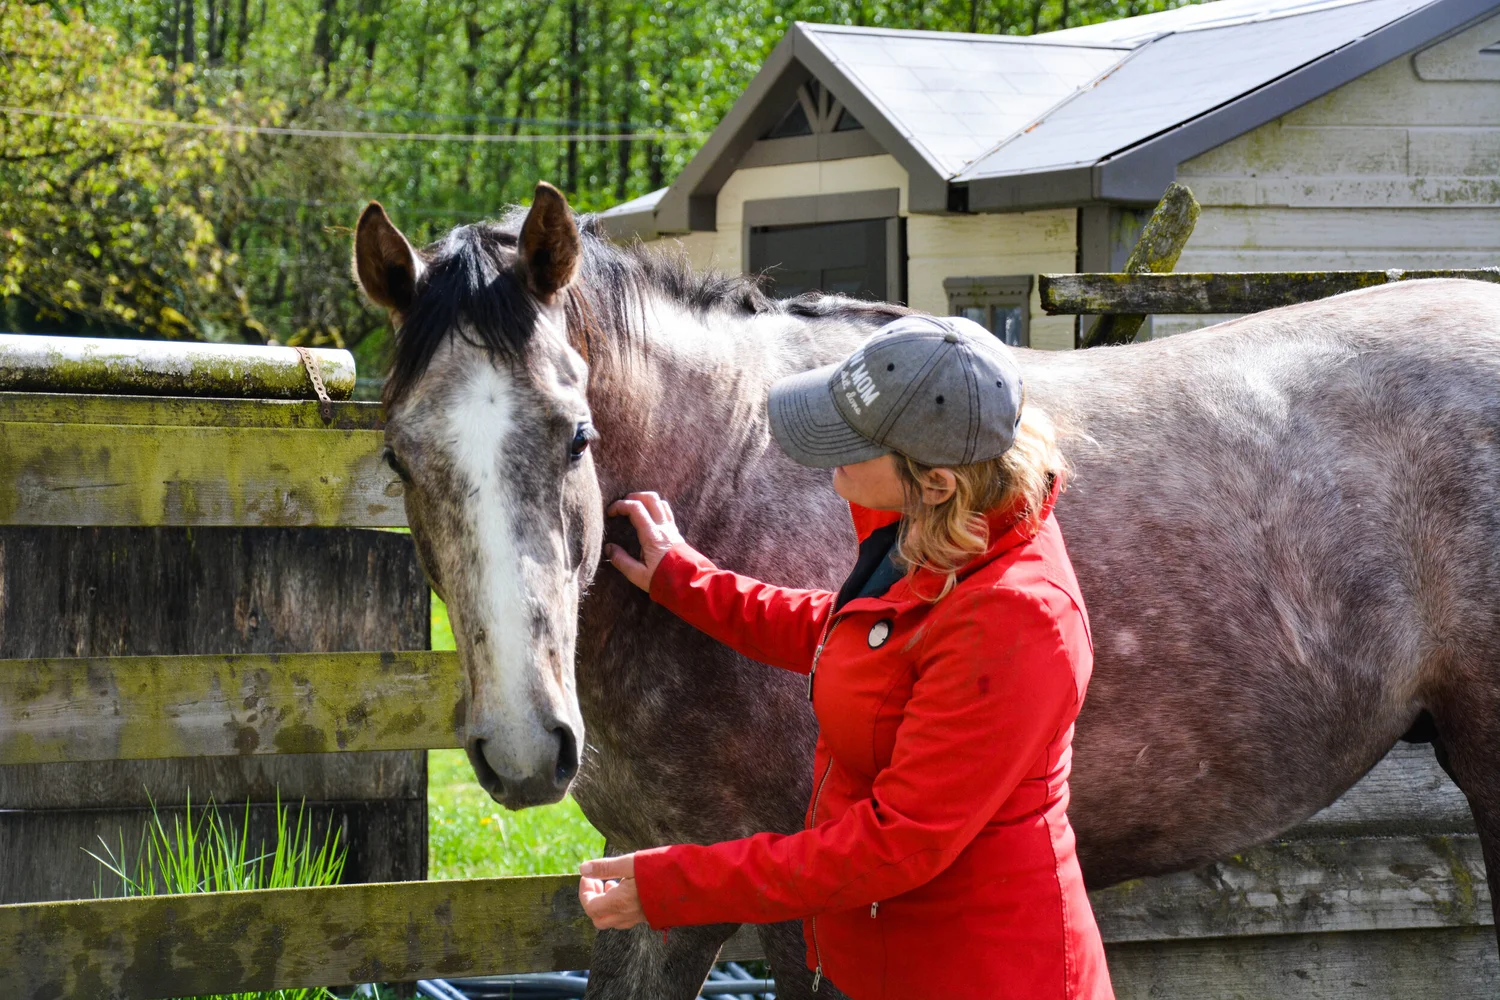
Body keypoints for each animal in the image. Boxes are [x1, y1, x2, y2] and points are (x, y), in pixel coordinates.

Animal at [353, 181, 1500, 998]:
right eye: (401, 456)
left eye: (576, 435)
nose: (522, 745)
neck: (731, 460)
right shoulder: (654, 873)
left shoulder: (804, 897)